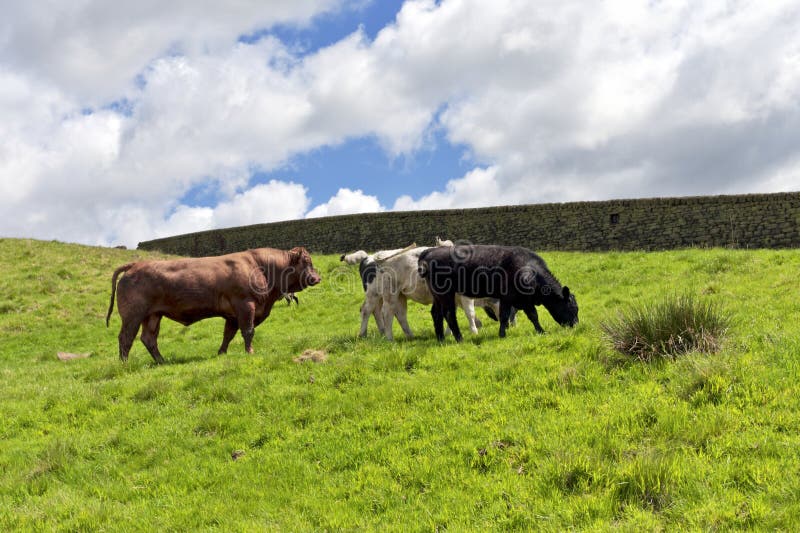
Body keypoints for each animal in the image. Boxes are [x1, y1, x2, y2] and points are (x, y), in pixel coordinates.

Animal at [106, 246, 321, 363]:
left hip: (153, 316)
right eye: (306, 260)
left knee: (149, 339)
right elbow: (248, 331)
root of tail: (135, 265)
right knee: (126, 338)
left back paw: (162, 361)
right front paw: (250, 352)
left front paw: (221, 353)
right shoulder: (246, 306)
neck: (259, 266)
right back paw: (124, 364)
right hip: (133, 317)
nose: (317, 277)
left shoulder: (232, 316)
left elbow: (228, 335)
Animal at [418, 245, 578, 342]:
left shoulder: (523, 300)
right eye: (572, 308)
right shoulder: (509, 297)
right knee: (449, 314)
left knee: (436, 313)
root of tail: (430, 251)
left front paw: (540, 331)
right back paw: (459, 339)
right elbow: (506, 315)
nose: (576, 325)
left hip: (437, 295)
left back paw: (441, 339)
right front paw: (502, 334)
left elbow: (531, 316)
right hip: (445, 293)